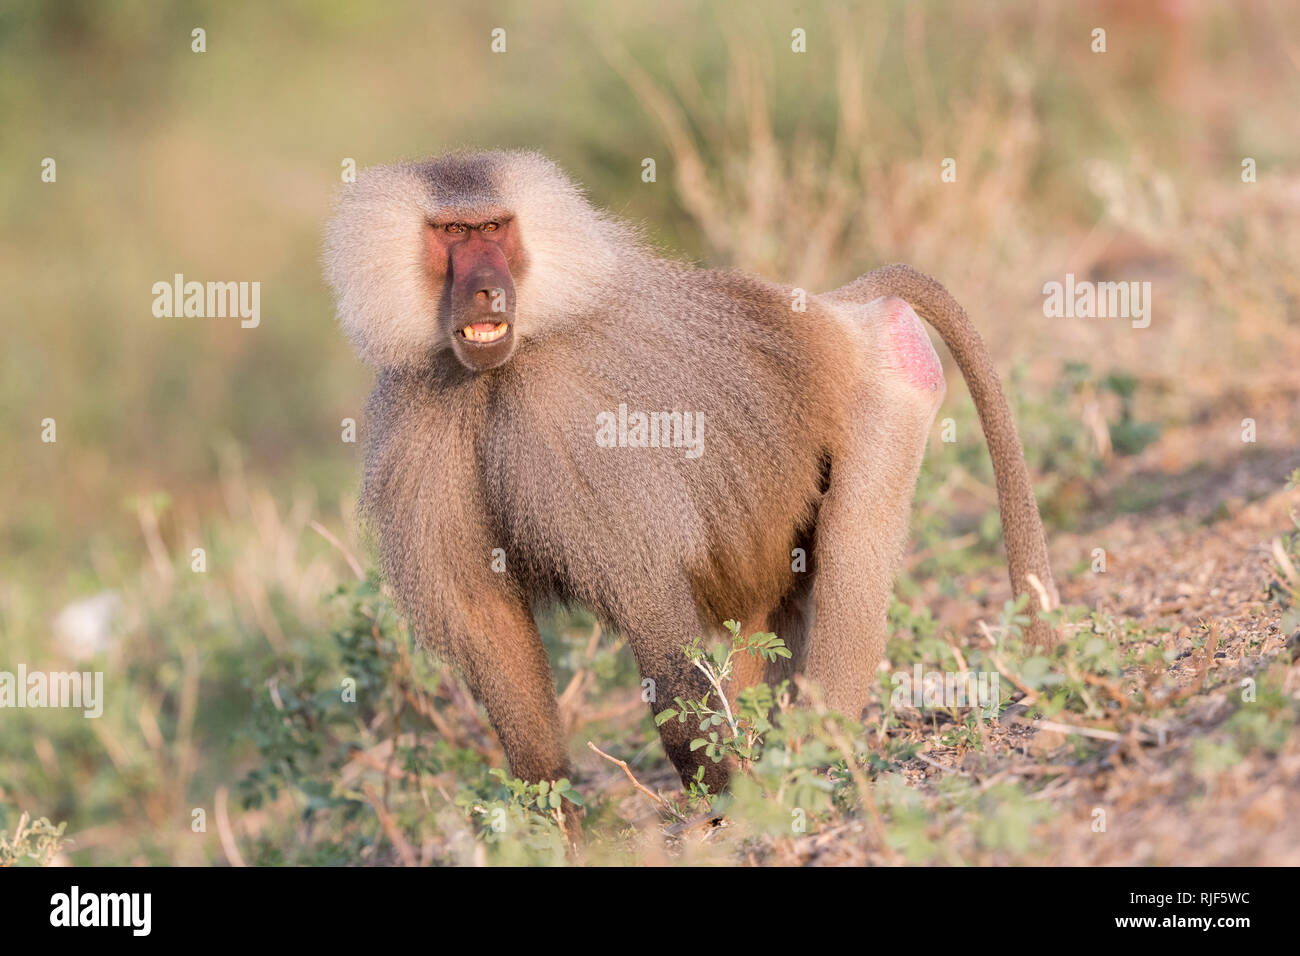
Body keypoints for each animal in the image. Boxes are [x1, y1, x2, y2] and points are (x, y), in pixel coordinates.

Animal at [323, 149, 1058, 797]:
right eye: (452, 234)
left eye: (495, 229)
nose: (485, 291)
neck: (501, 369)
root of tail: (835, 308)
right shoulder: (418, 420)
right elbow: (485, 618)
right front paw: (554, 812)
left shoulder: (583, 425)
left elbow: (646, 598)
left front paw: (720, 793)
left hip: (893, 390)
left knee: (853, 555)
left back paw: (813, 759)